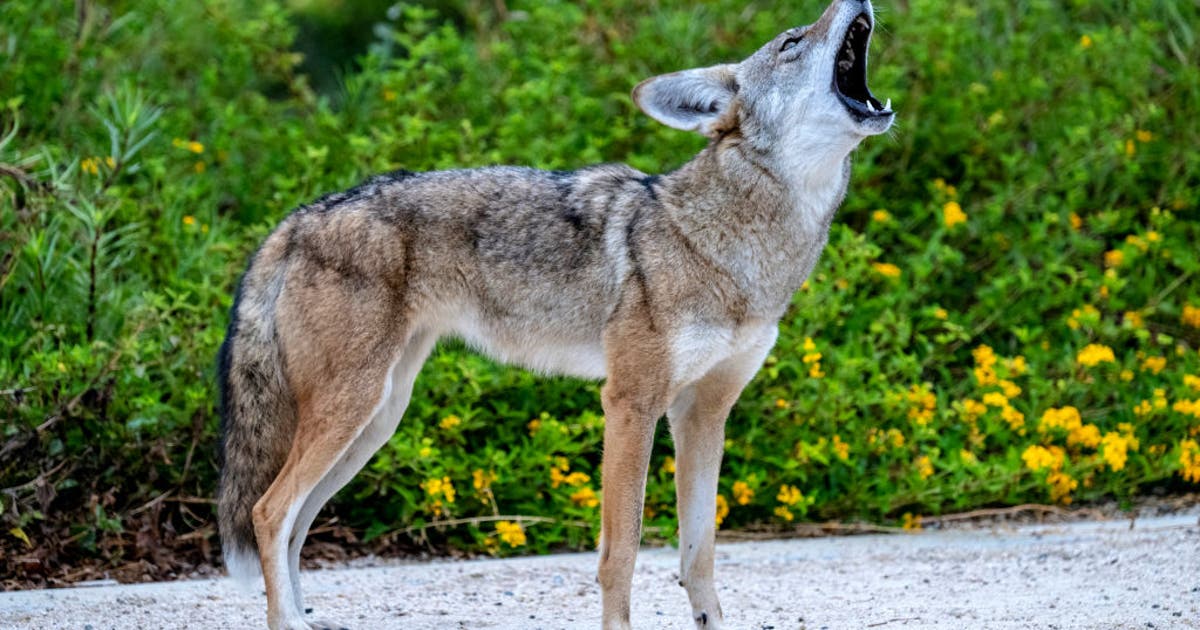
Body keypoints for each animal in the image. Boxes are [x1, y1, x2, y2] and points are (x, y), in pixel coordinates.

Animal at [216, 0, 893, 628]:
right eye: (790, 42)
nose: (856, 2)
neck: (734, 249)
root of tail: (299, 216)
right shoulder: (630, 403)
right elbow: (621, 553)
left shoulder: (704, 414)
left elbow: (699, 555)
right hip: (353, 413)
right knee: (267, 512)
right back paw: (288, 618)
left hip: (374, 422)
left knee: (294, 523)